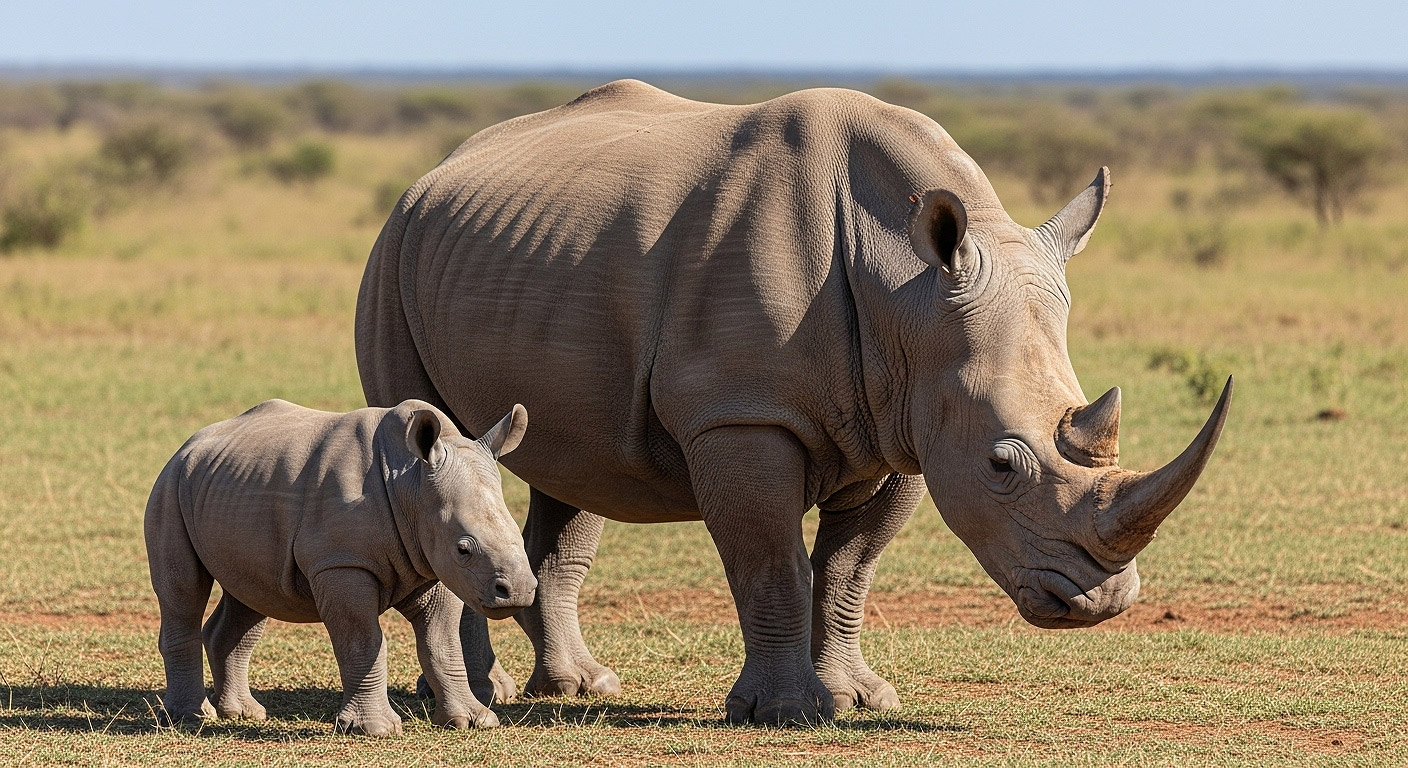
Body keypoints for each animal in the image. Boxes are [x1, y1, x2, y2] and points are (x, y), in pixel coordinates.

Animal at [144, 399, 536, 734]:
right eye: (463, 549)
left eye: (518, 535)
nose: (518, 591)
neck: (410, 483)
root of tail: (188, 445)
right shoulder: (342, 564)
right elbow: (363, 640)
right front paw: (374, 729)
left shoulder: (434, 566)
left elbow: (442, 642)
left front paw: (474, 721)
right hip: (169, 486)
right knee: (183, 590)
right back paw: (192, 718)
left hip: (230, 486)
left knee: (252, 596)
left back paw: (243, 714)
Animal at [355, 79, 1233, 725]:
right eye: (1001, 465)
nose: (1099, 601)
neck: (909, 291)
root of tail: (436, 172)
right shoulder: (741, 415)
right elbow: (771, 560)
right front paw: (784, 712)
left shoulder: (907, 423)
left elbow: (848, 567)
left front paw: (860, 698)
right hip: (391, 253)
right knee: (440, 447)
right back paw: (482, 696)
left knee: (571, 468)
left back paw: (578, 688)